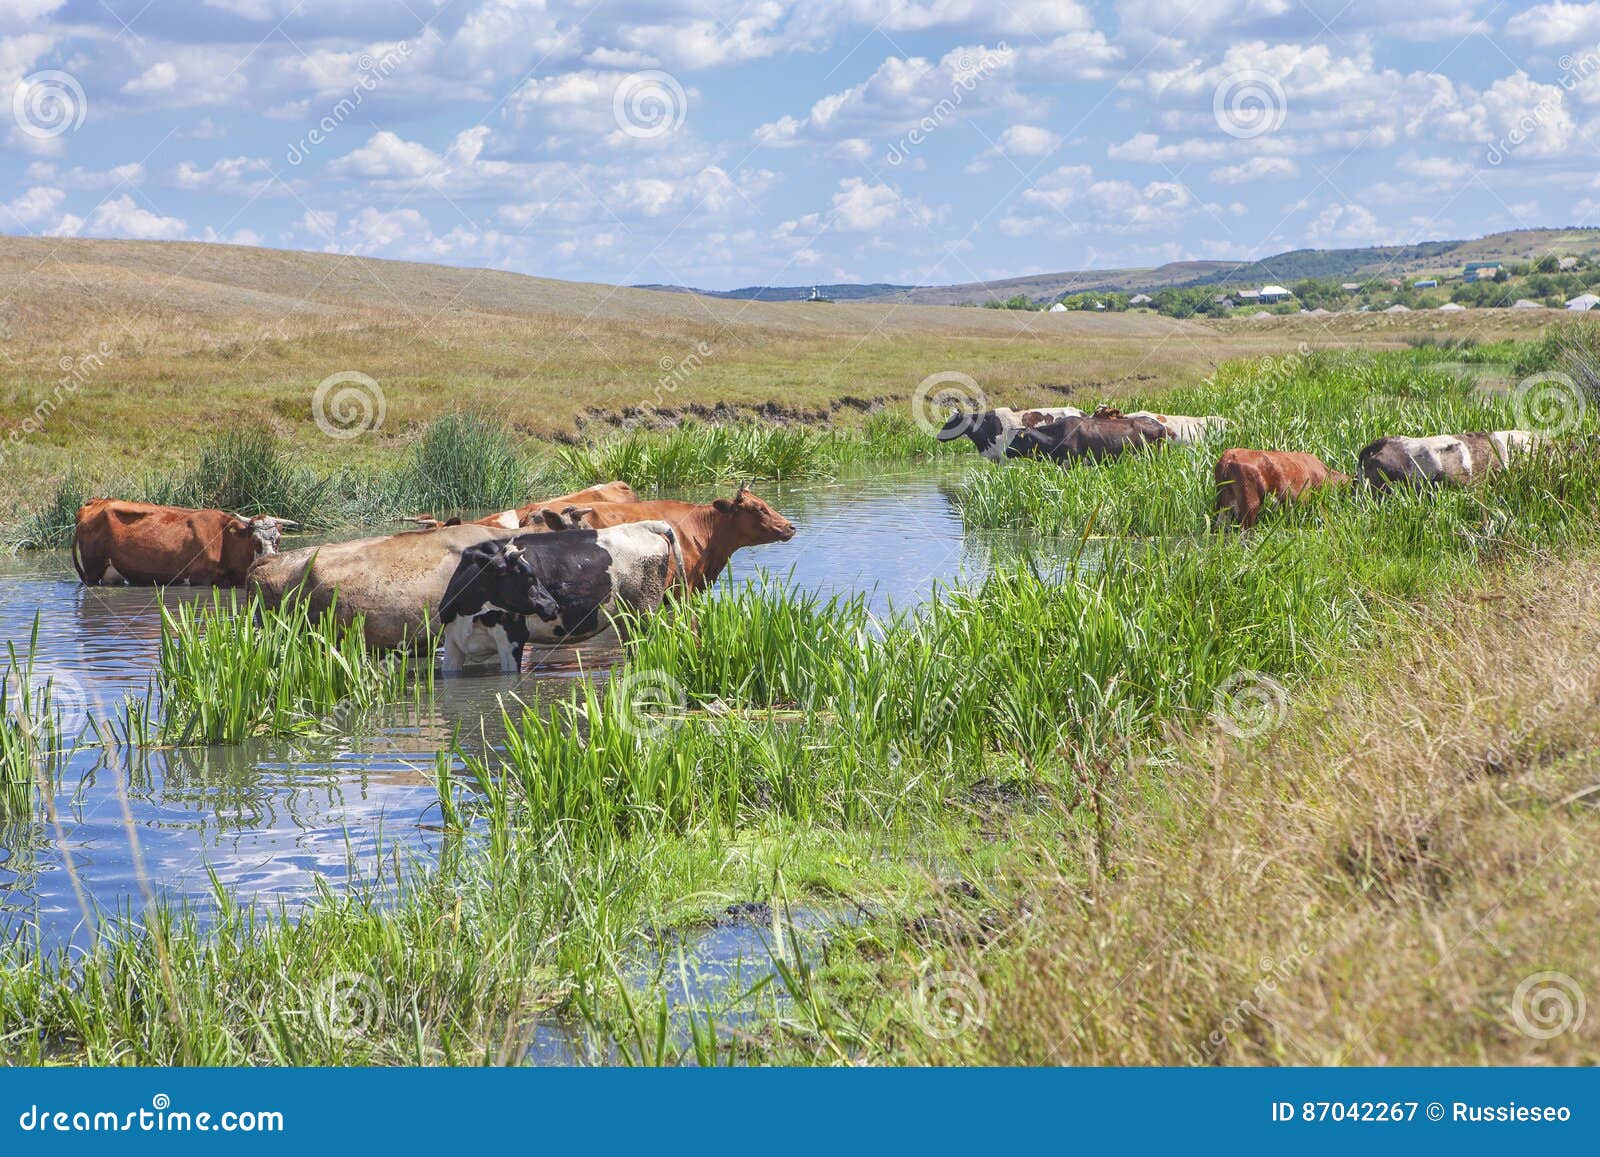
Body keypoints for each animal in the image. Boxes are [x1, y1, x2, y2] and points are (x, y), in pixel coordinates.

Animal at [72, 499, 296, 587]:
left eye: (277, 540)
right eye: (254, 541)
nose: (269, 561)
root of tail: (96, 502)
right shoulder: (199, 578)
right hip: (93, 570)